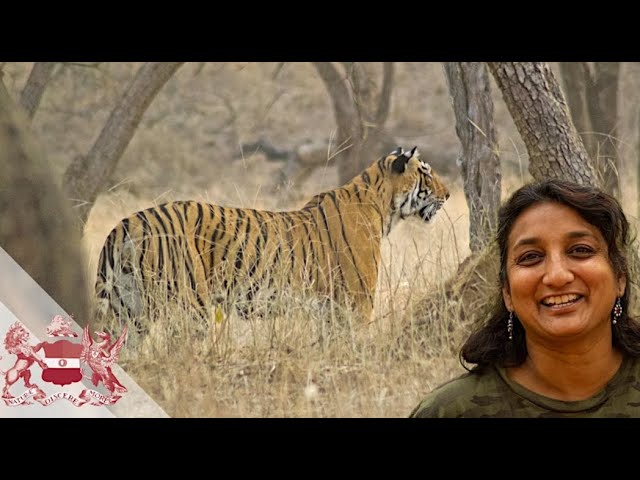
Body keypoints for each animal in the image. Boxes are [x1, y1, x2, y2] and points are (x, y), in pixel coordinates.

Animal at [94, 146, 450, 330]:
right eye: (427, 172)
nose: (447, 194)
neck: (383, 206)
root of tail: (125, 224)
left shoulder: (328, 311)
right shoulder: (356, 305)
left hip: (126, 311)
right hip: (188, 307)